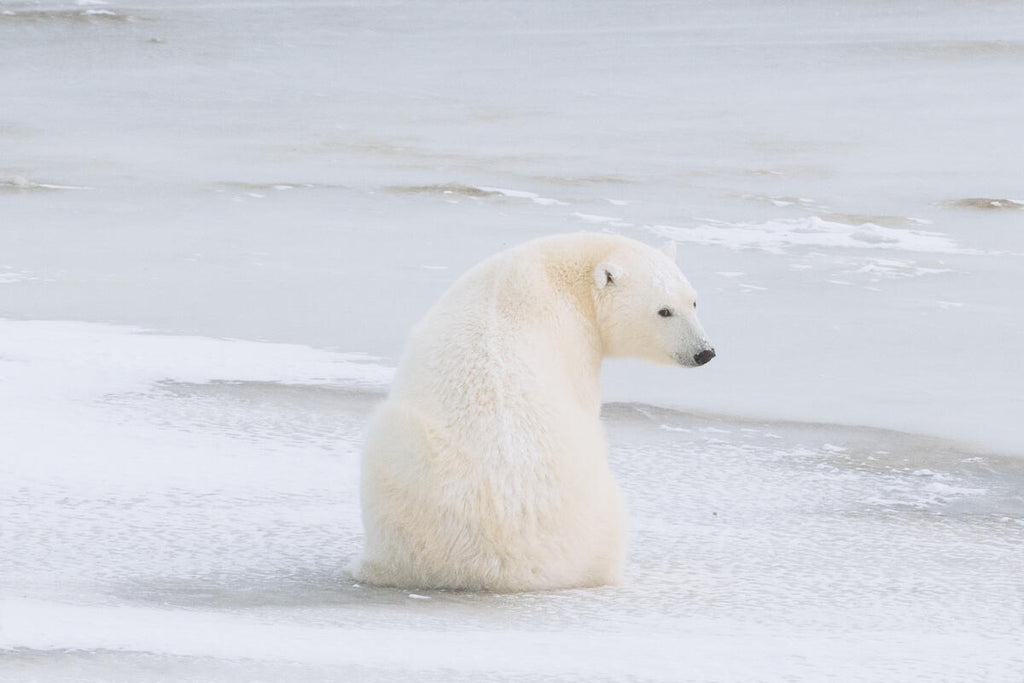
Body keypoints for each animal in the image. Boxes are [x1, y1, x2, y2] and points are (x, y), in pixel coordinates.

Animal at [352, 232, 715, 591]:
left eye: (693, 301)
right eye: (664, 311)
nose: (704, 352)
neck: (563, 275)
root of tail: (503, 565)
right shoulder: (577, 346)